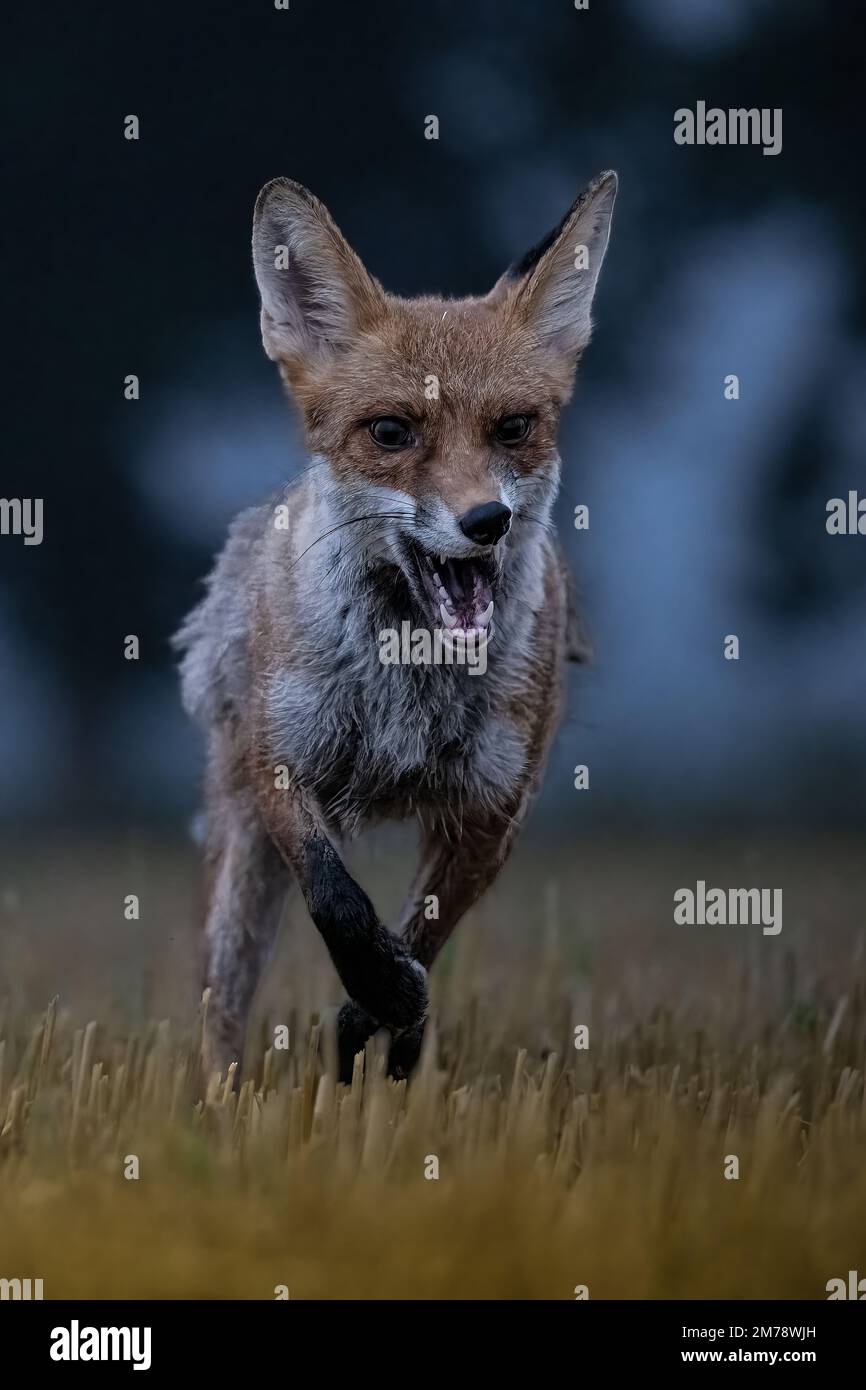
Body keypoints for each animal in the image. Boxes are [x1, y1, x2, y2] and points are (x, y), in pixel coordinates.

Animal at [174, 169, 617, 1083]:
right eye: (390, 432)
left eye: (513, 427)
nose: (486, 521)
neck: (404, 690)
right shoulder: (281, 765)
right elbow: (340, 901)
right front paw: (377, 989)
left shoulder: (493, 808)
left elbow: (426, 934)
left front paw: (377, 1020)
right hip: (238, 856)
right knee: (220, 1013)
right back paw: (220, 1101)